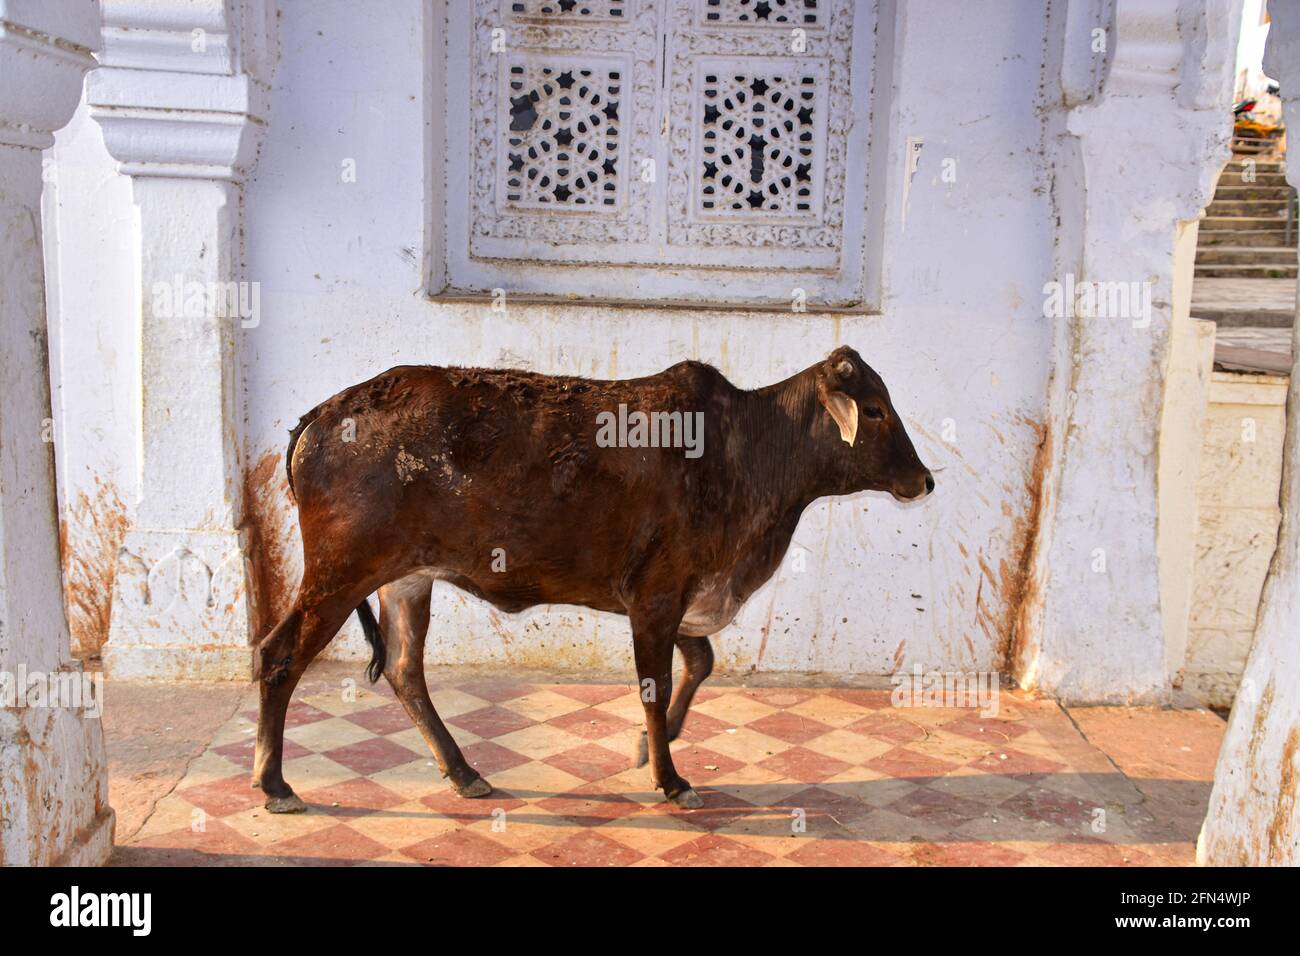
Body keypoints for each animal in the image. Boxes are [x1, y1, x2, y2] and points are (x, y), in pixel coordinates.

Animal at [252, 346, 934, 813]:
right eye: (874, 410)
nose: (925, 479)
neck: (745, 453)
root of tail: (322, 413)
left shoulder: (676, 597)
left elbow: (701, 663)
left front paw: (651, 747)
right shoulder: (655, 596)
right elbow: (658, 685)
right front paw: (670, 777)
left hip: (407, 579)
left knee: (403, 671)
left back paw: (464, 772)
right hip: (340, 573)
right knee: (278, 655)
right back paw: (275, 783)